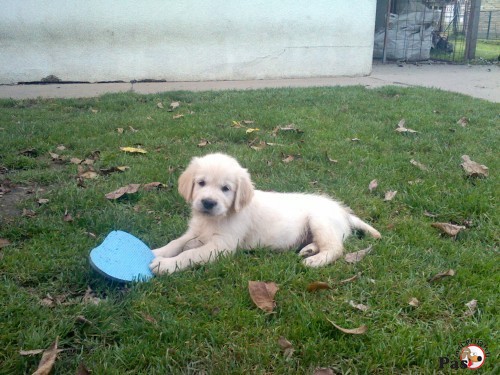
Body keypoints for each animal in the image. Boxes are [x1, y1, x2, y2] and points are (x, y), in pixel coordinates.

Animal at [150, 153, 380, 276]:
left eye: (226, 189)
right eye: (201, 183)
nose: (208, 203)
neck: (214, 219)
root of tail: (343, 211)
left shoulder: (222, 246)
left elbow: (189, 254)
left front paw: (165, 265)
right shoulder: (194, 232)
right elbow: (175, 243)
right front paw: (156, 252)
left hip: (320, 220)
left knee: (335, 248)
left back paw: (316, 260)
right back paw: (308, 249)